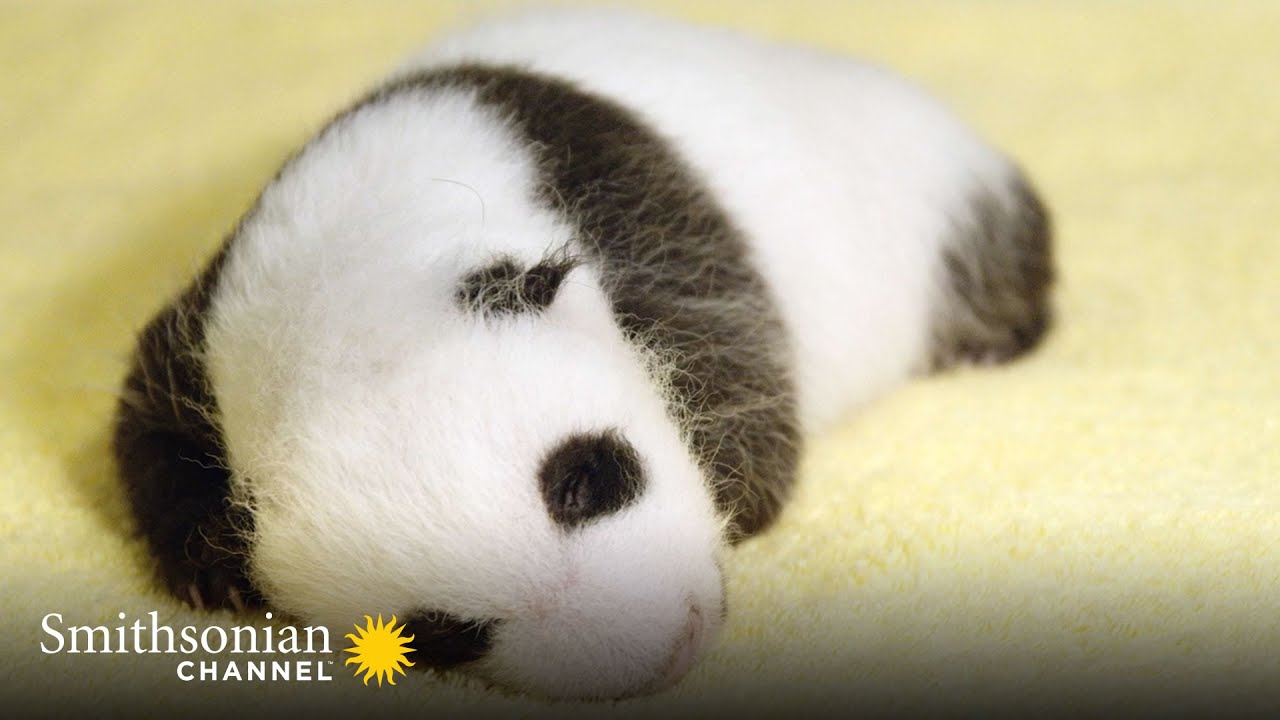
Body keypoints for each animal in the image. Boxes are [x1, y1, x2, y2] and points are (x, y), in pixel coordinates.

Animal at [112, 8, 1053, 701]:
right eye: (438, 636)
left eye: (588, 478)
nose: (667, 649)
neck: (348, 271)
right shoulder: (212, 320)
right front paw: (213, 569)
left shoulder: (652, 226)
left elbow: (750, 416)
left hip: (936, 212)